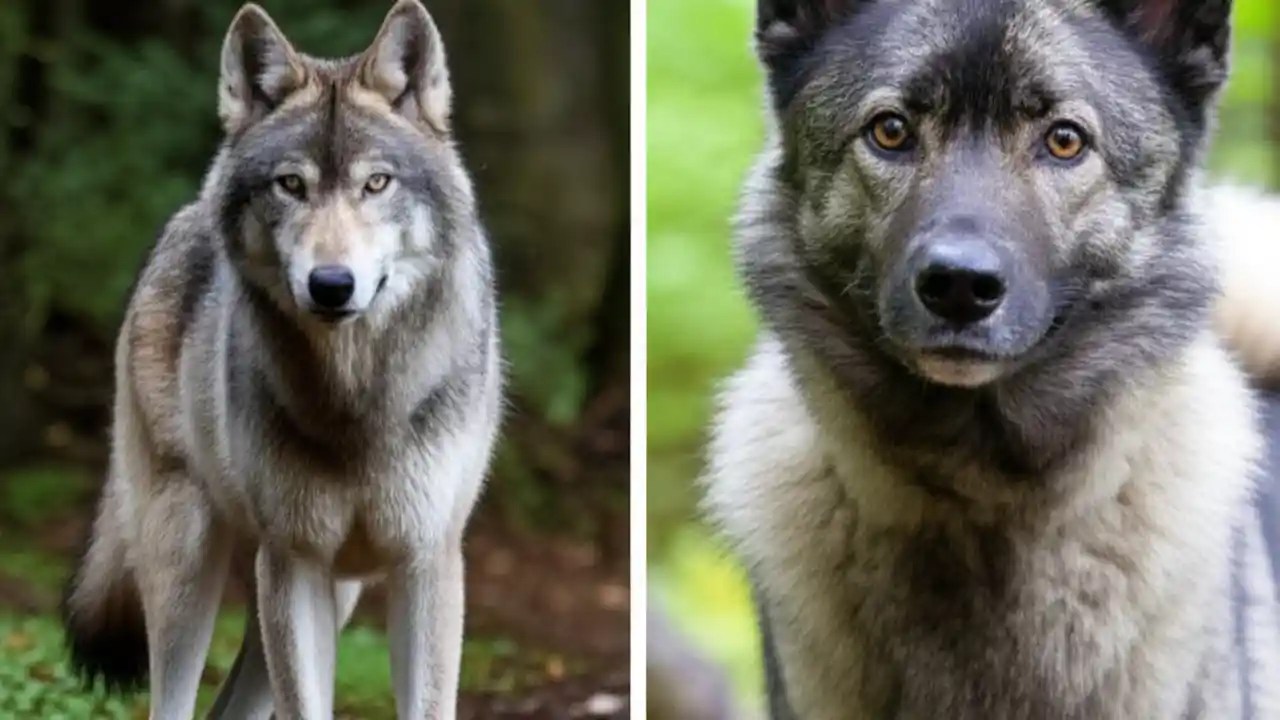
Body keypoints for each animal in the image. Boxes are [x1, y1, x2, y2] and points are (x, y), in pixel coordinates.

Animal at [60, 1, 501, 718]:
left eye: (376, 183)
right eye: (290, 185)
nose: (331, 284)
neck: (353, 398)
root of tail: (181, 219)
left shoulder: (427, 562)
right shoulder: (294, 563)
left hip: (332, 591)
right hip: (190, 564)